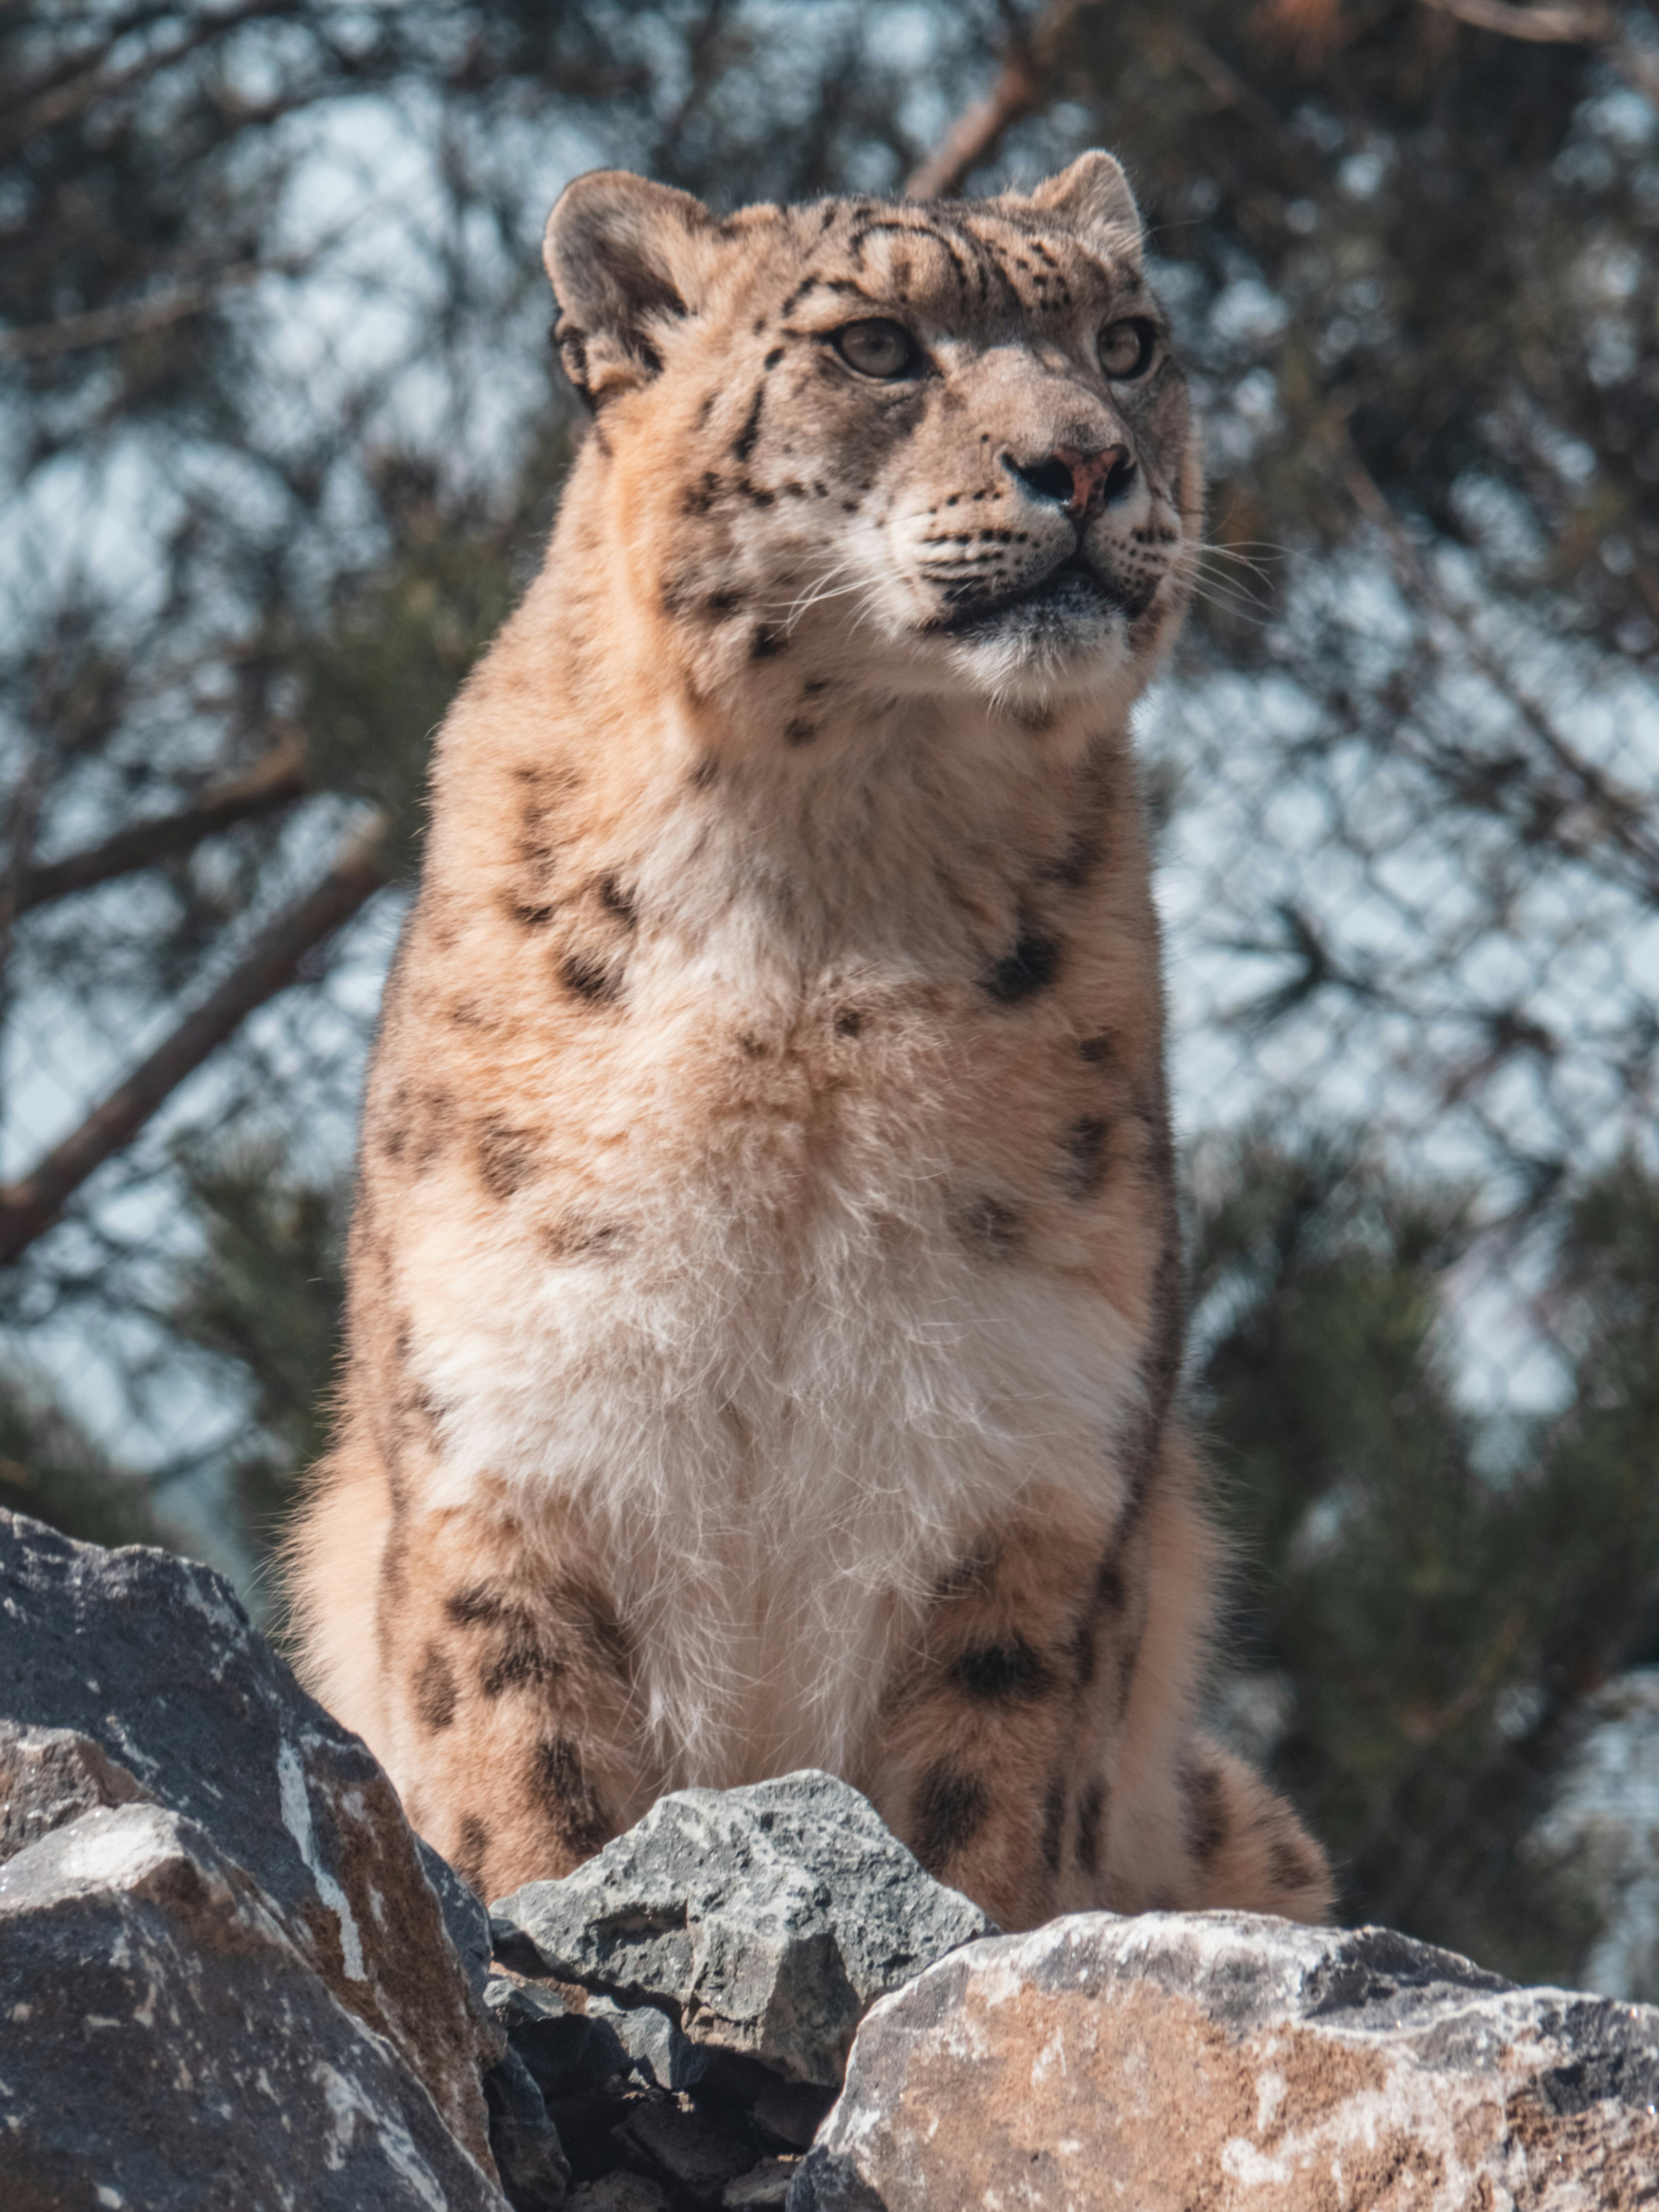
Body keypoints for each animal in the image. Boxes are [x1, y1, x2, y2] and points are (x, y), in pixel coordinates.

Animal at [285, 150, 1334, 1935]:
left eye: (1123, 342)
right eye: (874, 346)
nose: (1085, 462)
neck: (821, 891)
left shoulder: (1025, 1480)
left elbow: (980, 1832)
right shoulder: (511, 1449)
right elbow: (520, 1790)